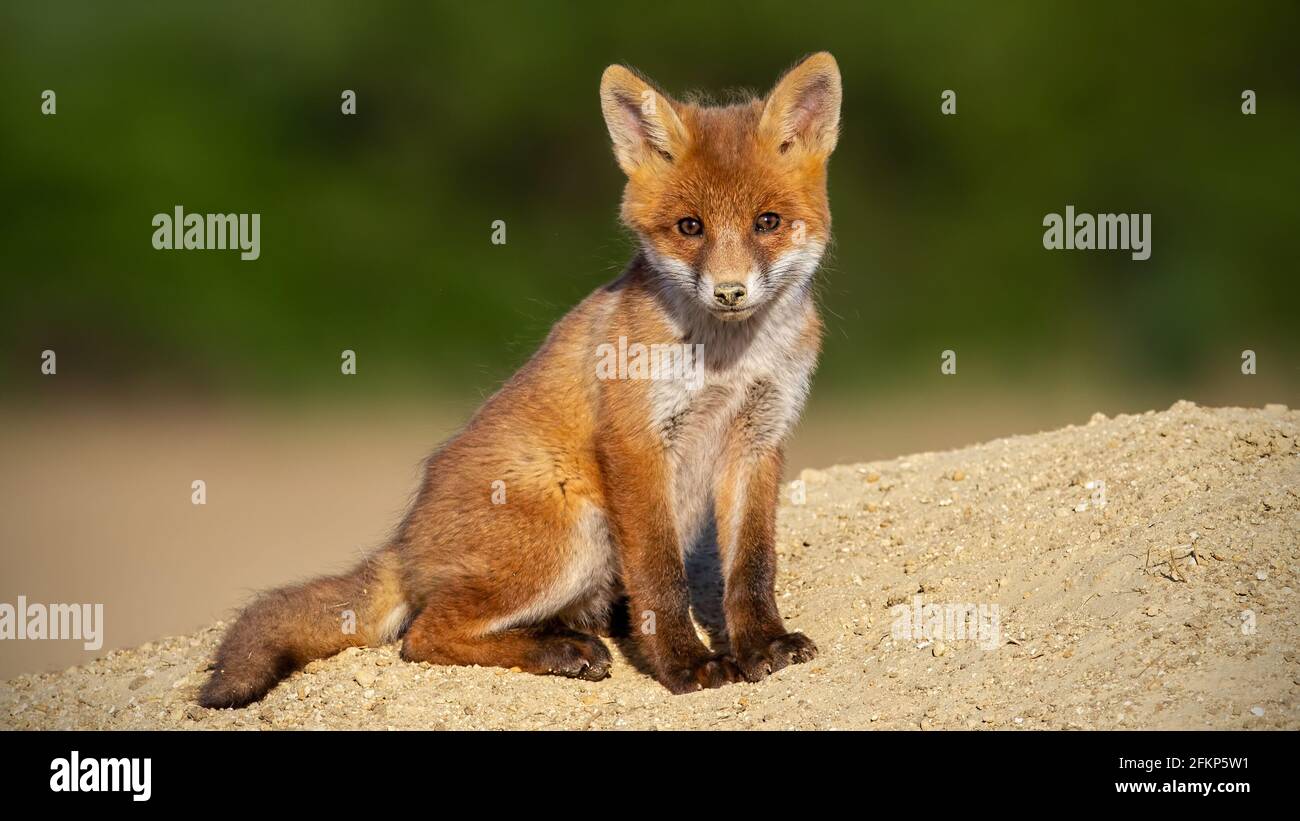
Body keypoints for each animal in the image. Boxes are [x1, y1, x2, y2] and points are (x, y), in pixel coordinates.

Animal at [199, 52, 842, 706]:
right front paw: (686, 663)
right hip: (571, 537)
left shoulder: (759, 437)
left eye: (767, 222)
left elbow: (752, 569)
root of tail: (404, 543)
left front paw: (764, 645)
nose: (730, 292)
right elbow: (662, 581)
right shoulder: (636, 441)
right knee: (423, 637)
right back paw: (559, 651)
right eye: (690, 227)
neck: (729, 361)